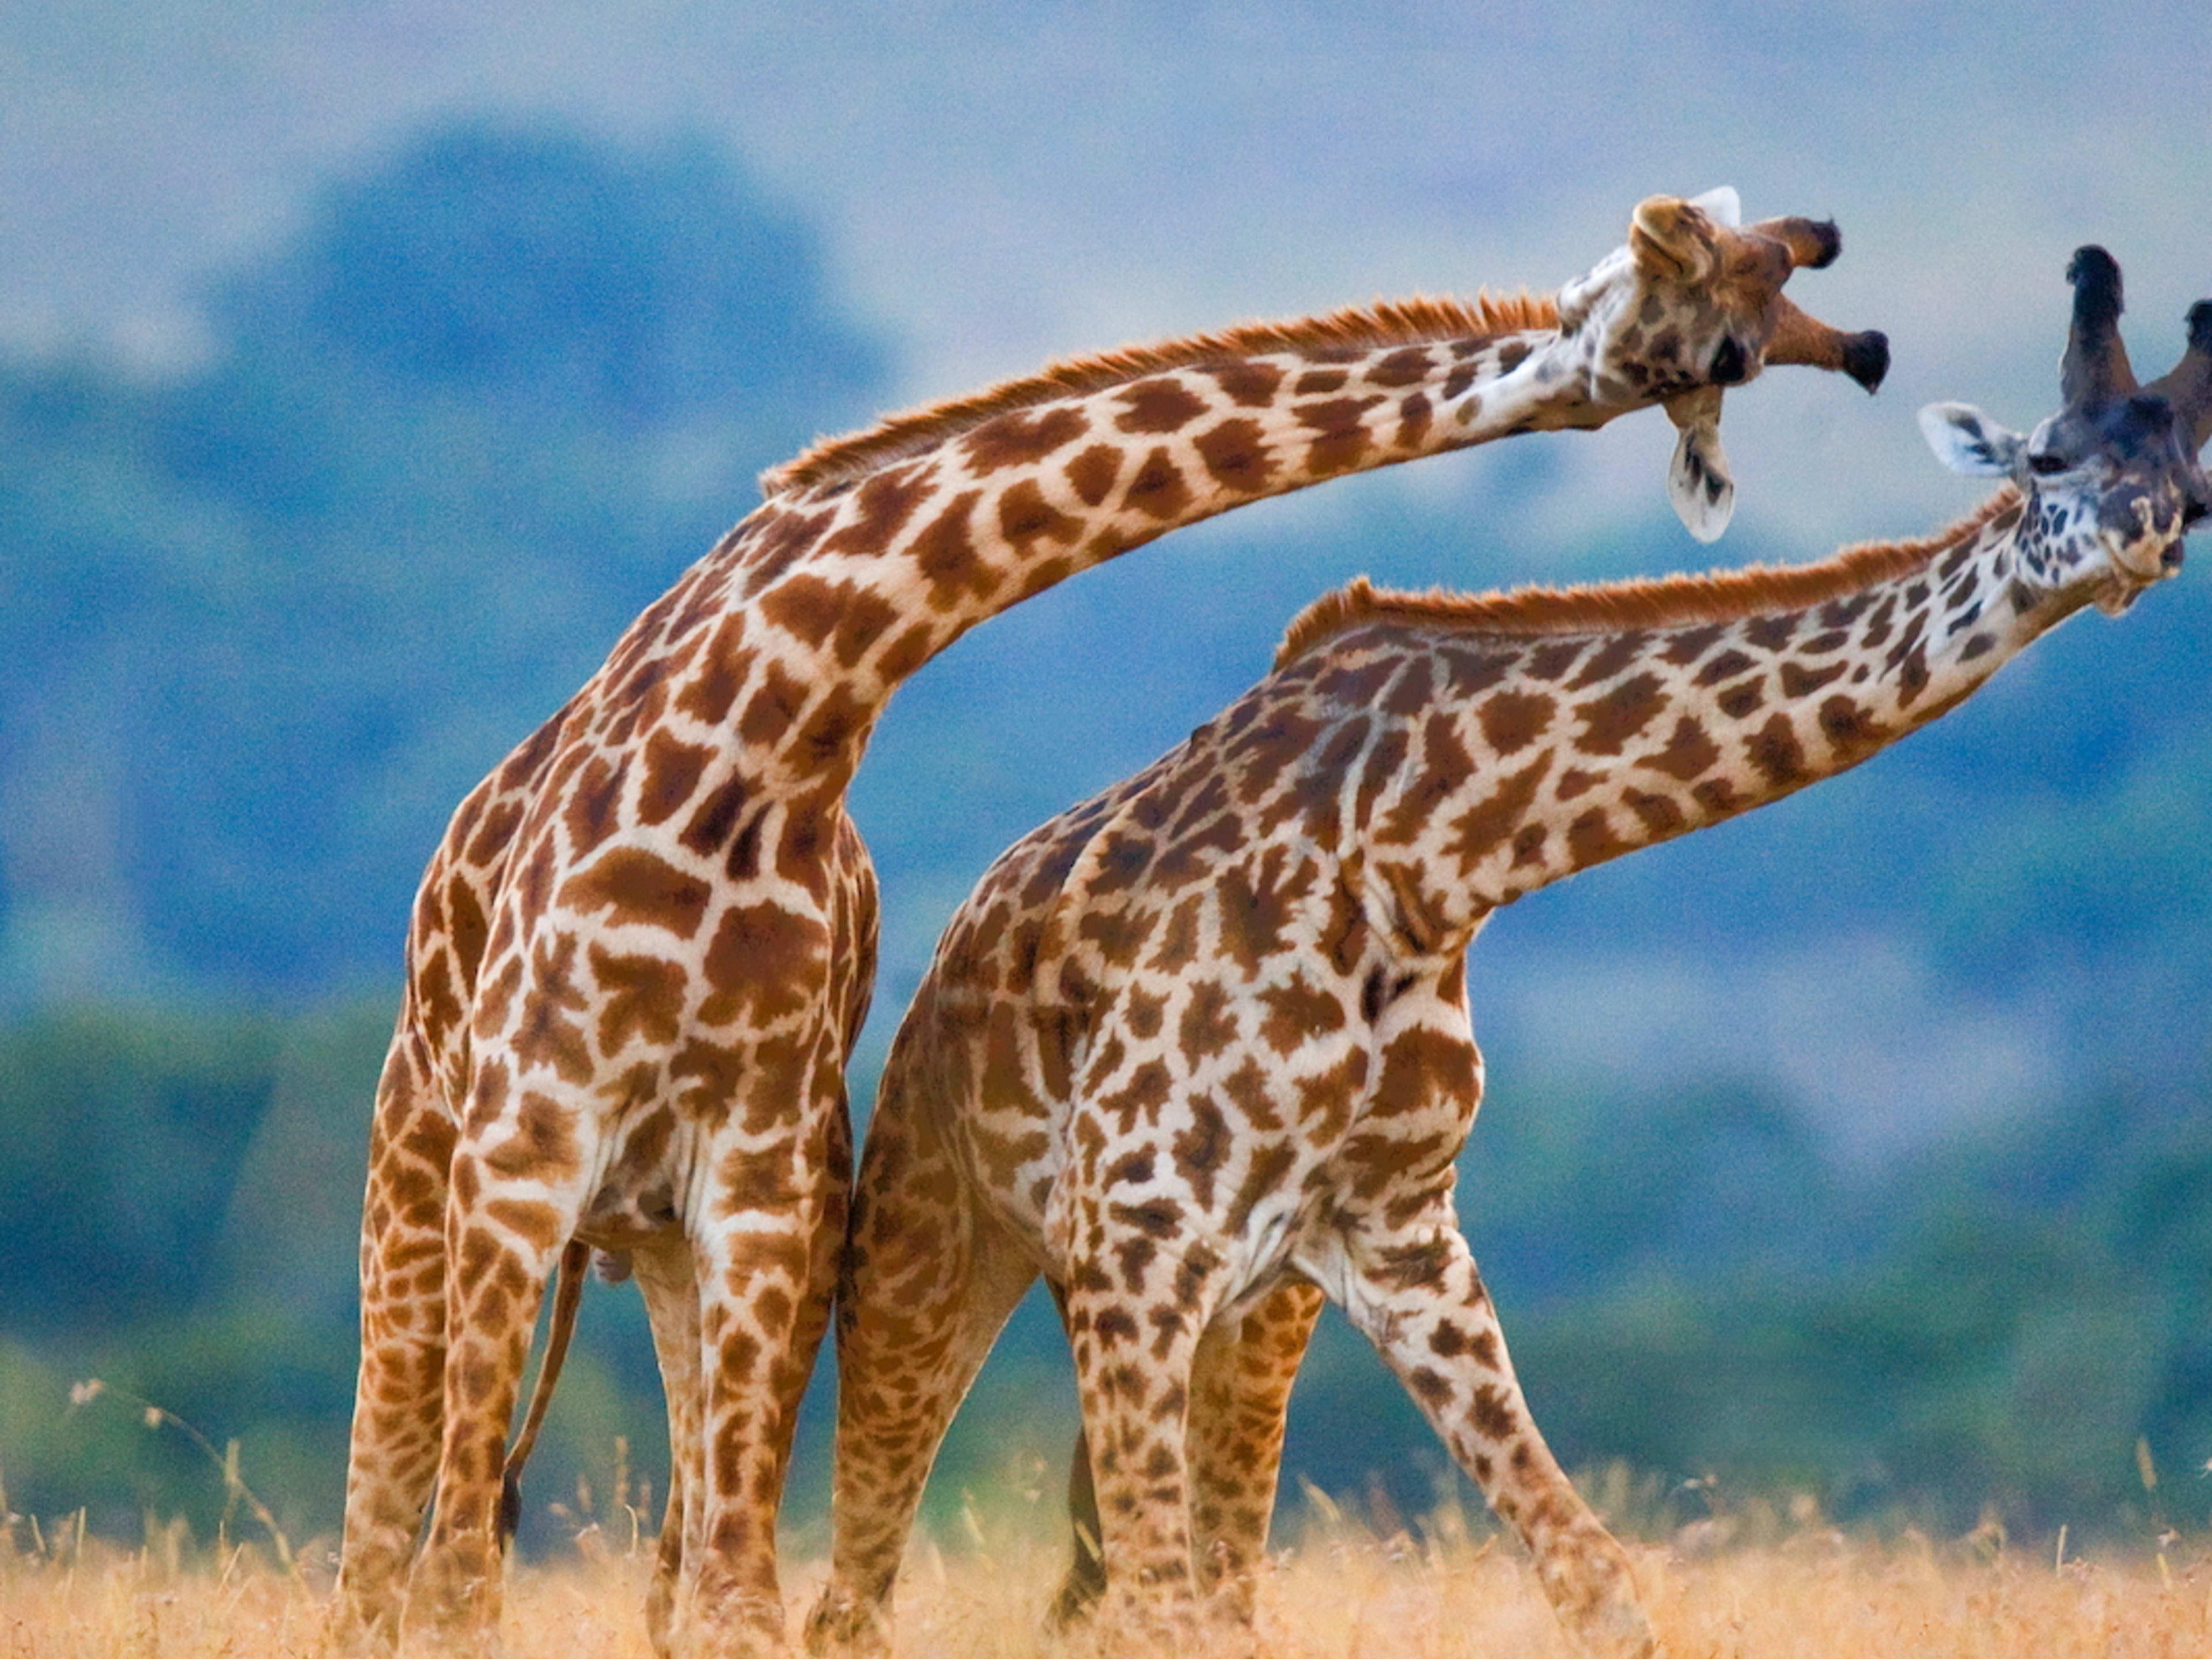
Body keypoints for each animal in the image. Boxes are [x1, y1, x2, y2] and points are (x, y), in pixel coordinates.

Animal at [327, 190, 1887, 1657]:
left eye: (1789, 299)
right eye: (1732, 331)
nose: (1866, 351)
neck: (768, 734)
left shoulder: (763, 1183)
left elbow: (731, 1592)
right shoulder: (525, 1145)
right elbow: (458, 1579)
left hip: (667, 1236)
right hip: (426, 1170)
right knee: (383, 1538)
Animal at [805, 247, 2211, 1657]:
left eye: (2197, 490)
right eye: (2046, 461)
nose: (2141, 538)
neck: (1434, 855)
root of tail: (951, 948)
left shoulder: (1394, 1233)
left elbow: (1595, 1575)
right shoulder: (1141, 1225)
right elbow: (1166, 1609)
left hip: (1240, 1306)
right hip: (941, 1242)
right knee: (864, 1588)